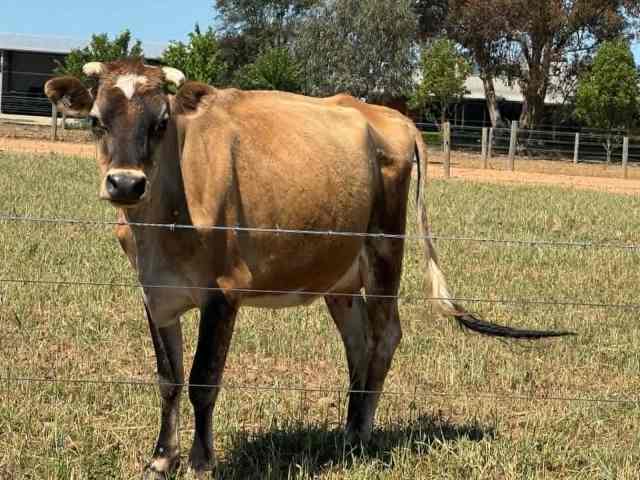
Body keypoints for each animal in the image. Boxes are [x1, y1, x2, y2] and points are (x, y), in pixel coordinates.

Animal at [44, 59, 572, 478]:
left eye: (160, 123)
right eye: (96, 121)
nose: (126, 183)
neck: (164, 217)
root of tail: (387, 116)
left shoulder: (224, 293)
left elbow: (202, 380)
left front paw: (199, 461)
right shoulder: (155, 295)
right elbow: (168, 379)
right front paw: (160, 459)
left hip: (385, 250)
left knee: (386, 336)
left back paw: (362, 435)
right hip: (340, 278)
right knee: (359, 341)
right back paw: (347, 429)